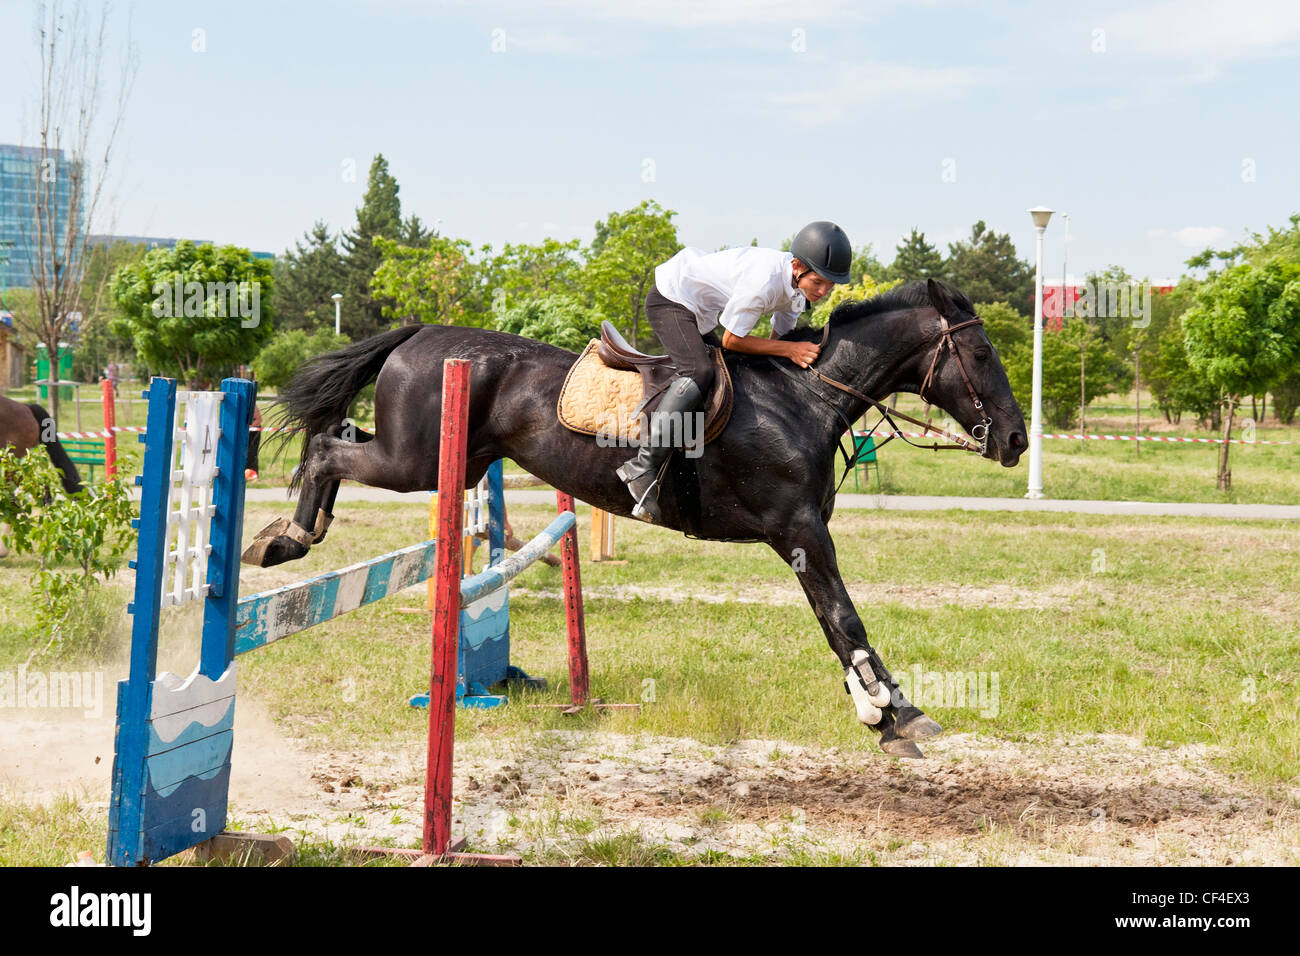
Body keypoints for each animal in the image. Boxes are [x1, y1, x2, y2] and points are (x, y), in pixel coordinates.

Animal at [243, 279, 1027, 756]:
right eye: (981, 351)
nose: (1017, 440)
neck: (805, 395)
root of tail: (420, 332)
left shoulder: (802, 534)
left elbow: (838, 621)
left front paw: (887, 709)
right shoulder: (799, 532)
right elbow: (845, 619)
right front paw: (892, 715)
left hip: (449, 463)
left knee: (336, 435)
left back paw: (287, 535)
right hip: (416, 460)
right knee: (326, 448)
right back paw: (284, 539)